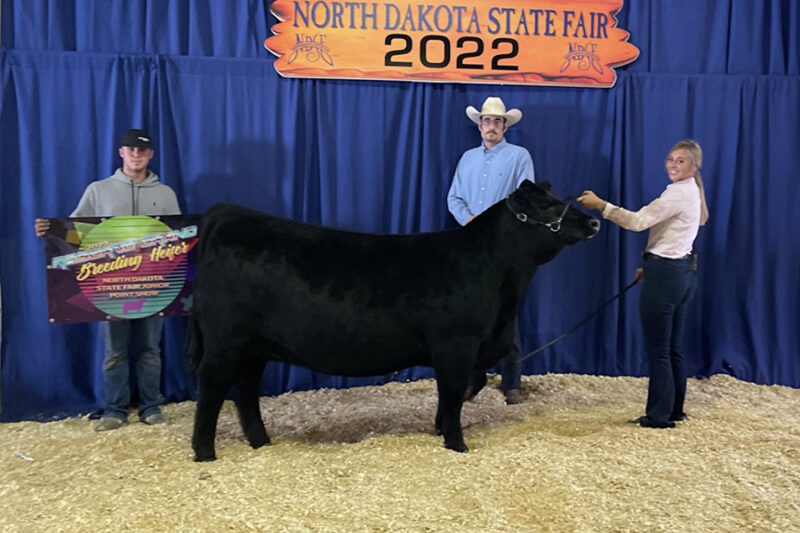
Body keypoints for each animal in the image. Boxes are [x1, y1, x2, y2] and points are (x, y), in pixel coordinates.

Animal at [188, 180, 599, 461]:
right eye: (546, 206)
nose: (594, 223)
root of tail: (226, 213)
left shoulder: (470, 346)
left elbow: (460, 388)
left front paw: (439, 428)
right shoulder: (457, 342)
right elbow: (453, 391)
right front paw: (457, 443)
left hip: (254, 347)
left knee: (245, 390)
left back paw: (261, 442)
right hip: (226, 341)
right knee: (211, 387)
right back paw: (205, 452)